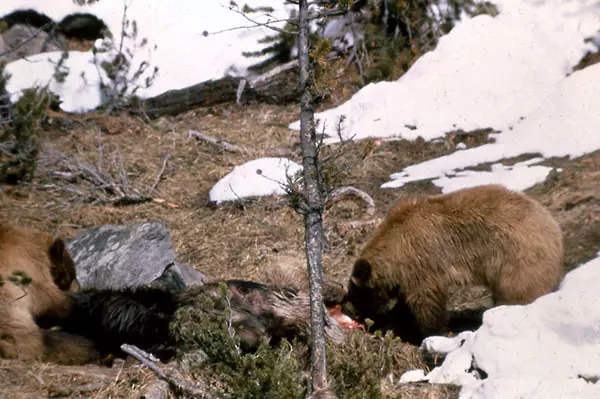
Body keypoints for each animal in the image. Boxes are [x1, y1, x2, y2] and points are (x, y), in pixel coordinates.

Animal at [344, 186, 564, 346]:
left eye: (356, 294)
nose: (356, 314)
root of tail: (553, 226)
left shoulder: (420, 263)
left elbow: (426, 302)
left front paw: (429, 332)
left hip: (517, 258)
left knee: (518, 291)